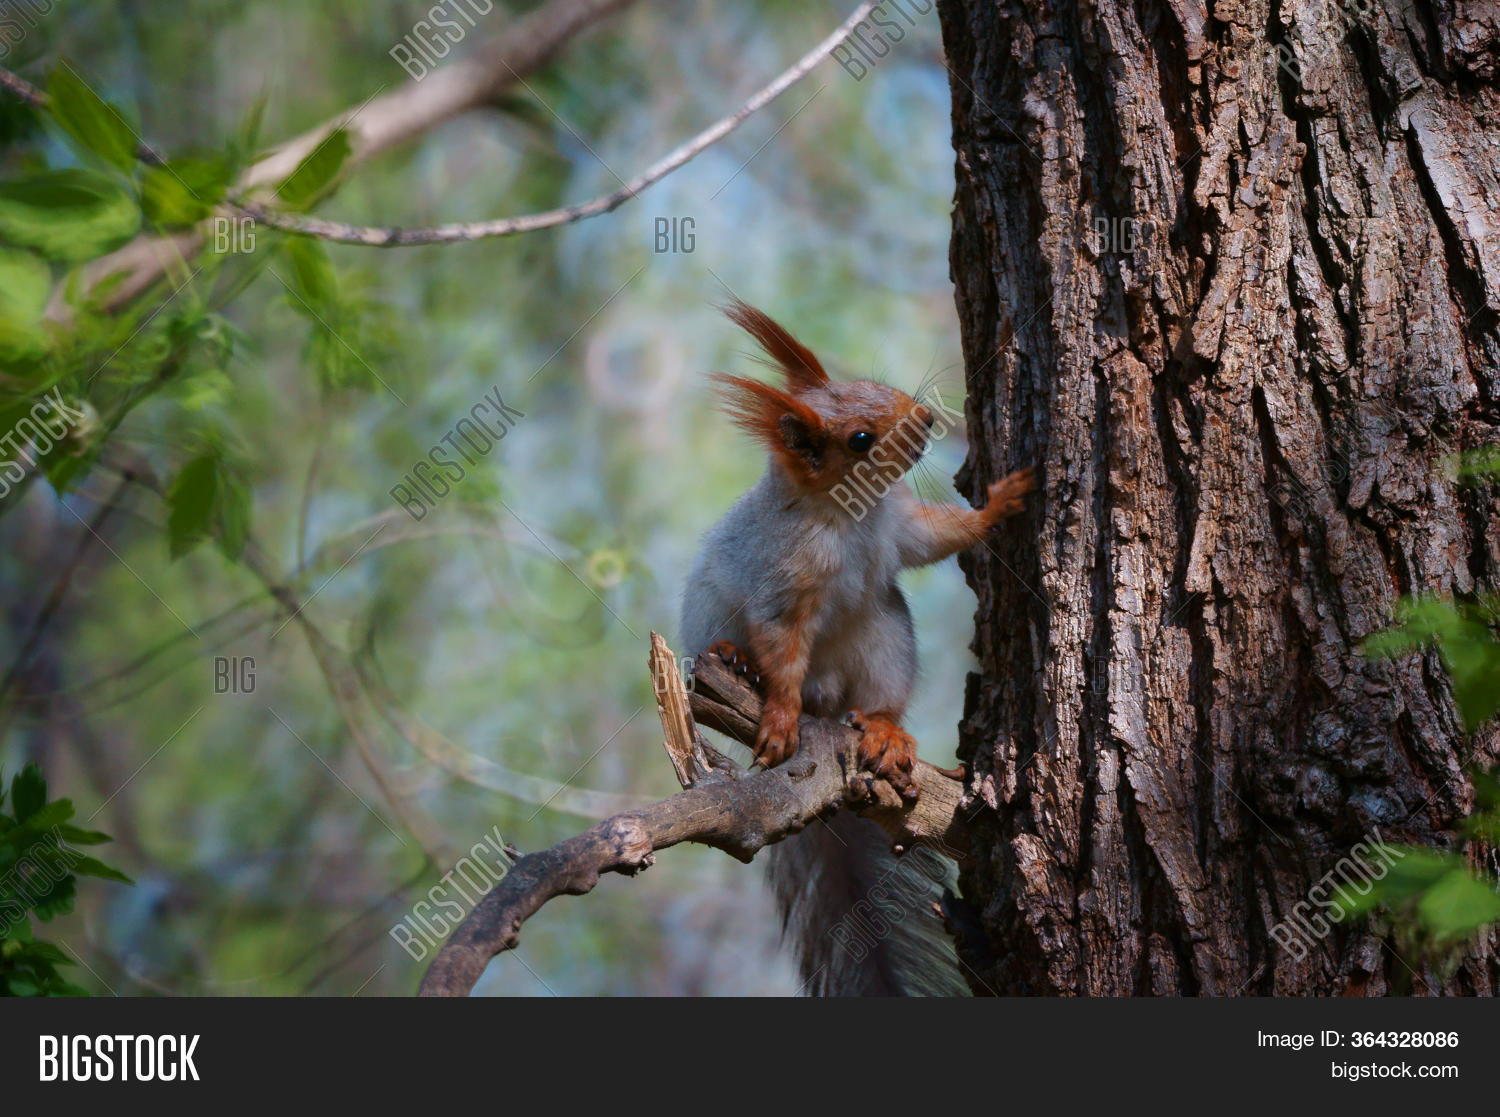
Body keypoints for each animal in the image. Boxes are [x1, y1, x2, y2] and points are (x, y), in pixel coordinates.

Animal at [680, 300, 1033, 995]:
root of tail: (829, 702)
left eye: (876, 384)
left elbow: (940, 535)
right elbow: (781, 644)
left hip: (886, 636)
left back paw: (884, 730)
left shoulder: (900, 528)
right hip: (709, 611)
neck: (850, 517)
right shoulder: (780, 584)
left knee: (879, 696)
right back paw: (739, 663)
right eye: (861, 440)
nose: (925, 418)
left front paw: (1001, 501)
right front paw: (778, 716)